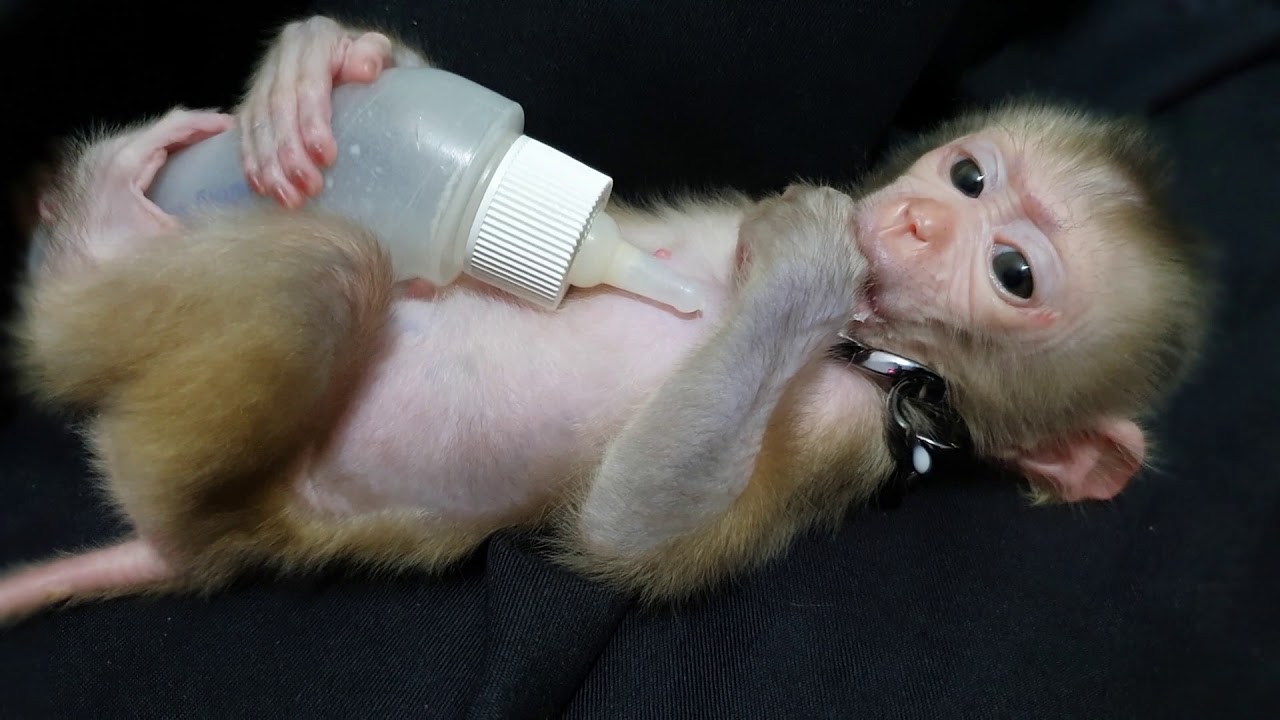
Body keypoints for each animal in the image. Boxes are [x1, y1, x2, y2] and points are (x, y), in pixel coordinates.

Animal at [0, 16, 1211, 624]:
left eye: (1012, 271)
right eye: (968, 176)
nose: (913, 222)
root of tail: (202, 544)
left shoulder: (852, 426)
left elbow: (627, 527)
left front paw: (803, 271)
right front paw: (337, 63)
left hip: (198, 461)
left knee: (321, 274)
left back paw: (97, 228)